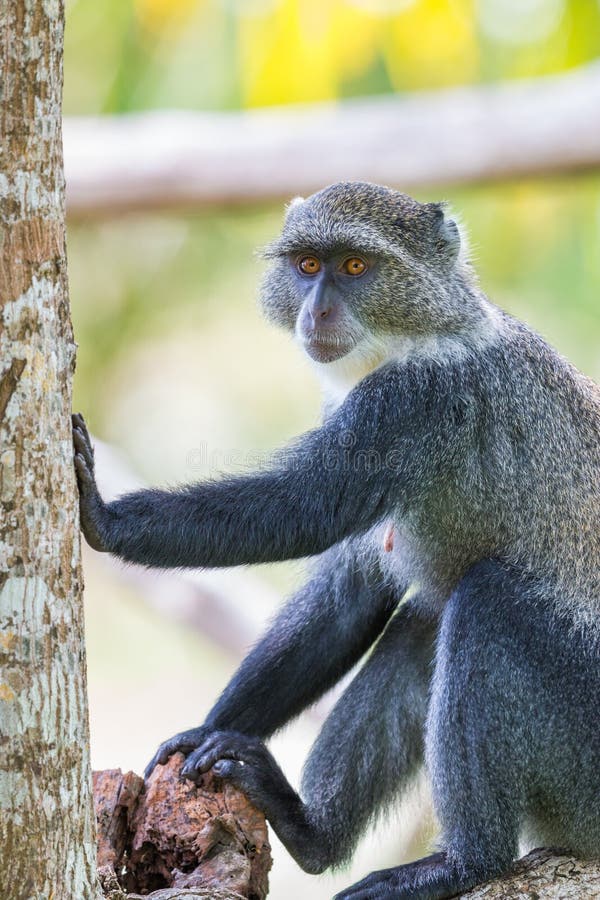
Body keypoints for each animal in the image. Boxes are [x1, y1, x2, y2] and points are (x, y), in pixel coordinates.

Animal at [73, 181, 600, 900]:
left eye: (354, 267)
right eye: (306, 266)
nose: (317, 309)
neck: (416, 335)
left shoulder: (413, 402)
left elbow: (307, 506)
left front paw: (105, 516)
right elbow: (348, 595)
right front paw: (204, 734)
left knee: (484, 604)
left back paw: (467, 863)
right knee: (421, 624)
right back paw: (312, 835)